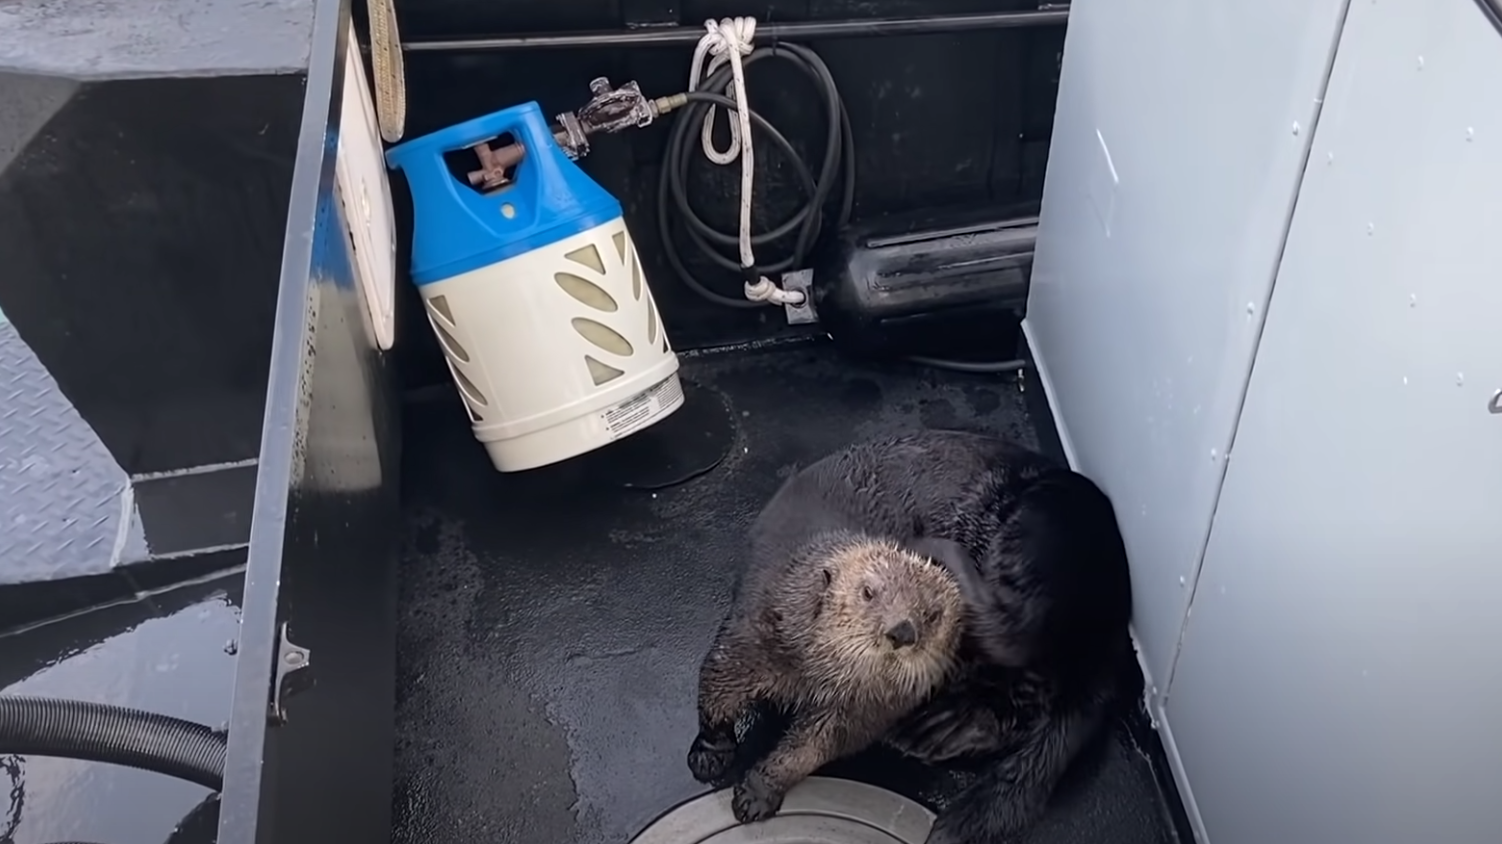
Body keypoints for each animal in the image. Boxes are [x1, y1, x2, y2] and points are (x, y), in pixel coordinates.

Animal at [686, 525, 964, 824]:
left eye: (933, 615)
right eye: (868, 592)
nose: (902, 631)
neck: (815, 675)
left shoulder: (859, 711)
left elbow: (809, 750)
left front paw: (756, 795)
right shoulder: (757, 640)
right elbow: (720, 685)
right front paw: (710, 754)